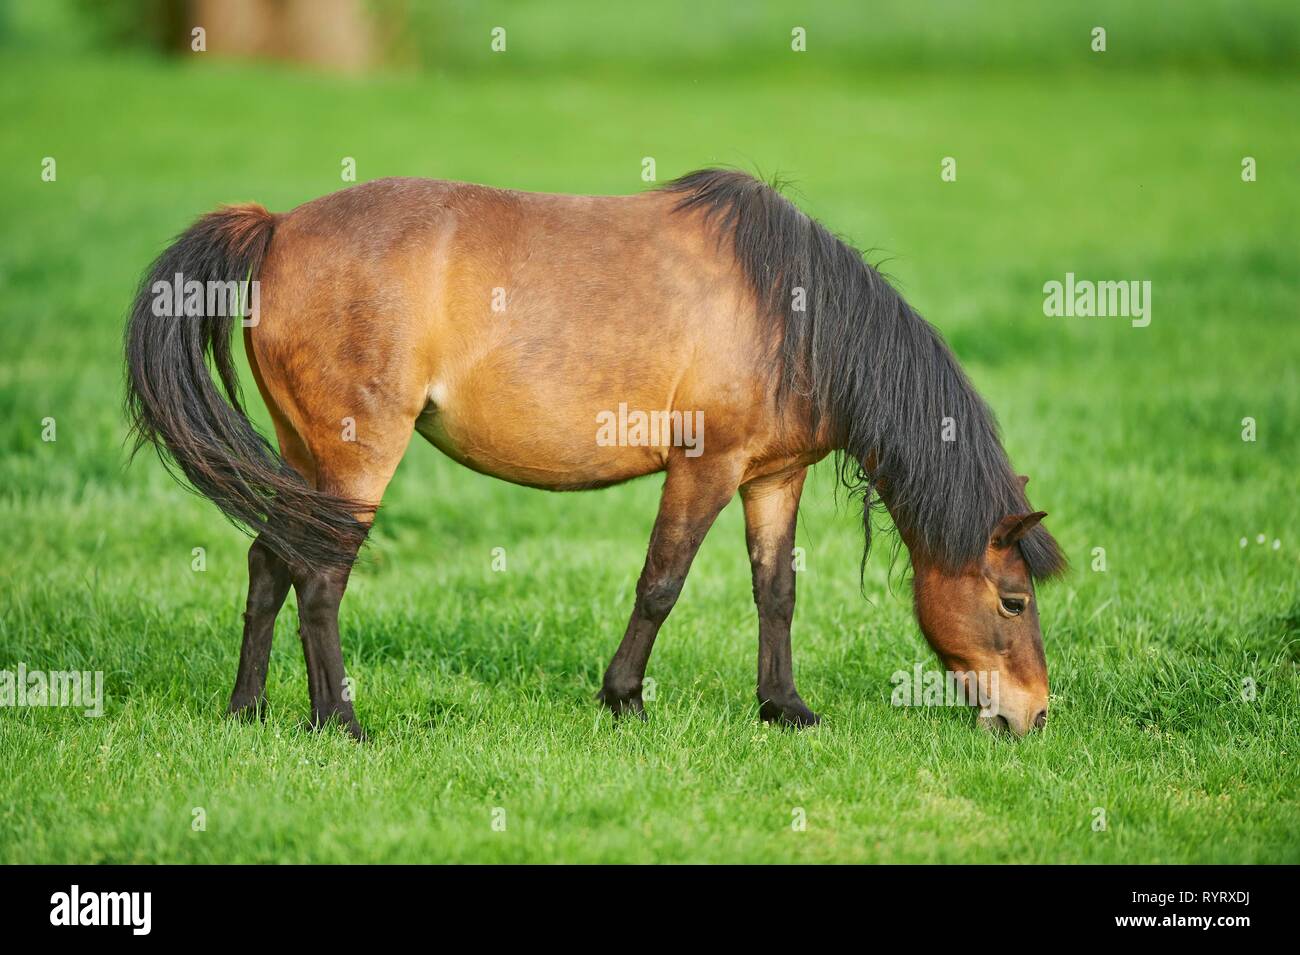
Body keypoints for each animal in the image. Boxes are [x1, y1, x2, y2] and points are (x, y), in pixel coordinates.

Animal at [125, 169, 1066, 740]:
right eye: (1013, 600)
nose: (1037, 714)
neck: (791, 312)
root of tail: (277, 227)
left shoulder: (772, 475)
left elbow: (777, 592)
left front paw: (783, 705)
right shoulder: (705, 467)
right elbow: (661, 583)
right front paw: (624, 697)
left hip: (304, 455)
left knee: (270, 560)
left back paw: (247, 708)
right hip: (357, 456)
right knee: (319, 577)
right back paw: (340, 723)